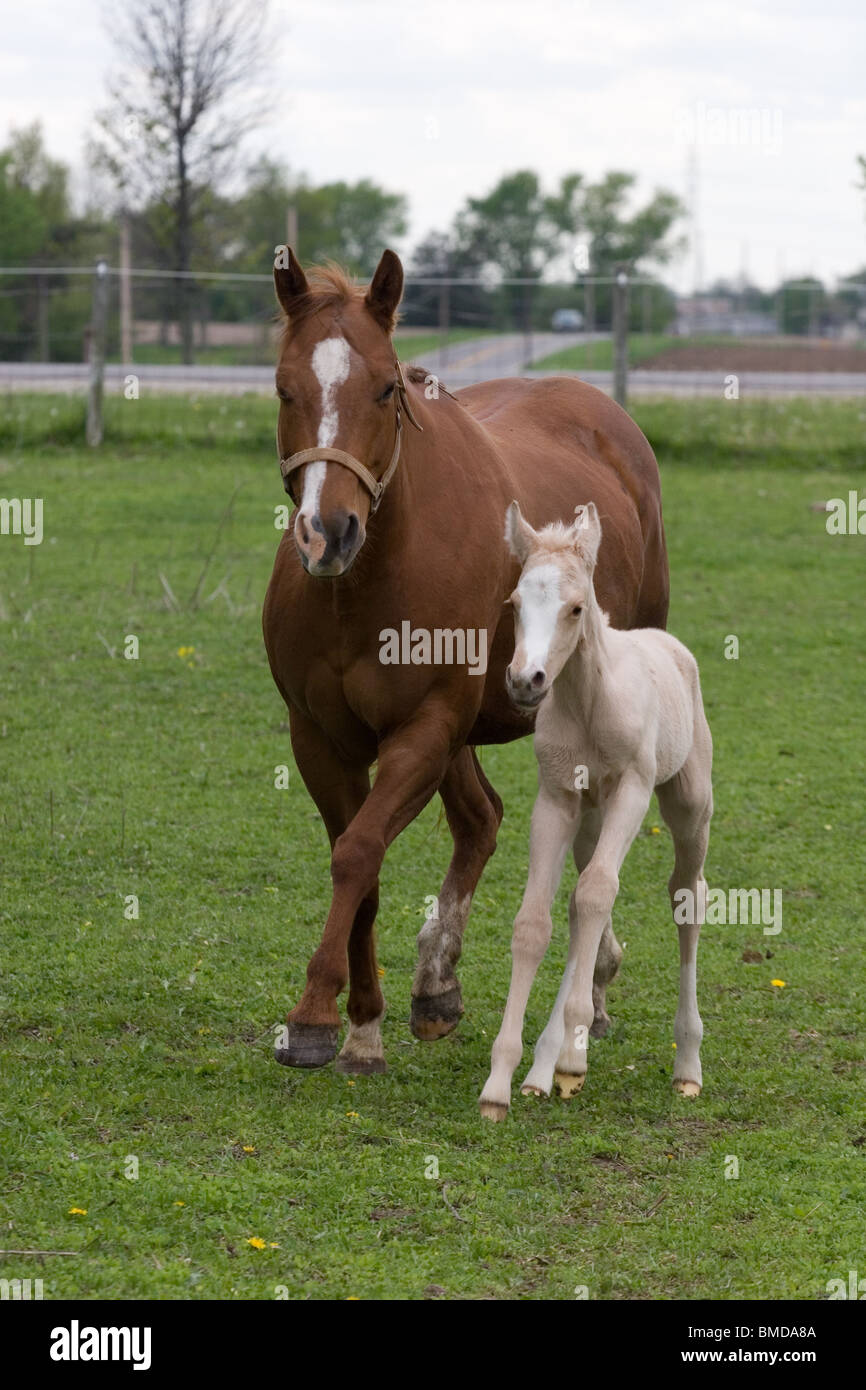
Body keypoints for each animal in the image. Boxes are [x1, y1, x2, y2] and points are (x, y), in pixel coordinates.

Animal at [262, 247, 670, 1077]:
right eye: (285, 387)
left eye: (386, 387)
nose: (328, 532)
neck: (366, 588)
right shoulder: (321, 739)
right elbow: (364, 864)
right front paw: (363, 1023)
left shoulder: (425, 729)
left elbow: (358, 853)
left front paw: (315, 1013)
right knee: (481, 820)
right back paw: (436, 980)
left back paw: (595, 983)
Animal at [479, 502, 713, 1119]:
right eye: (514, 603)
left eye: (576, 607)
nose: (525, 681)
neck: (588, 703)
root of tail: (666, 642)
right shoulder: (556, 799)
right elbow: (539, 919)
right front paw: (503, 1081)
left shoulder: (632, 788)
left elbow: (598, 895)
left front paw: (573, 1057)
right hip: (589, 821)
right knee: (583, 898)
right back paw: (543, 1067)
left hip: (688, 803)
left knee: (685, 896)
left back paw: (687, 1065)